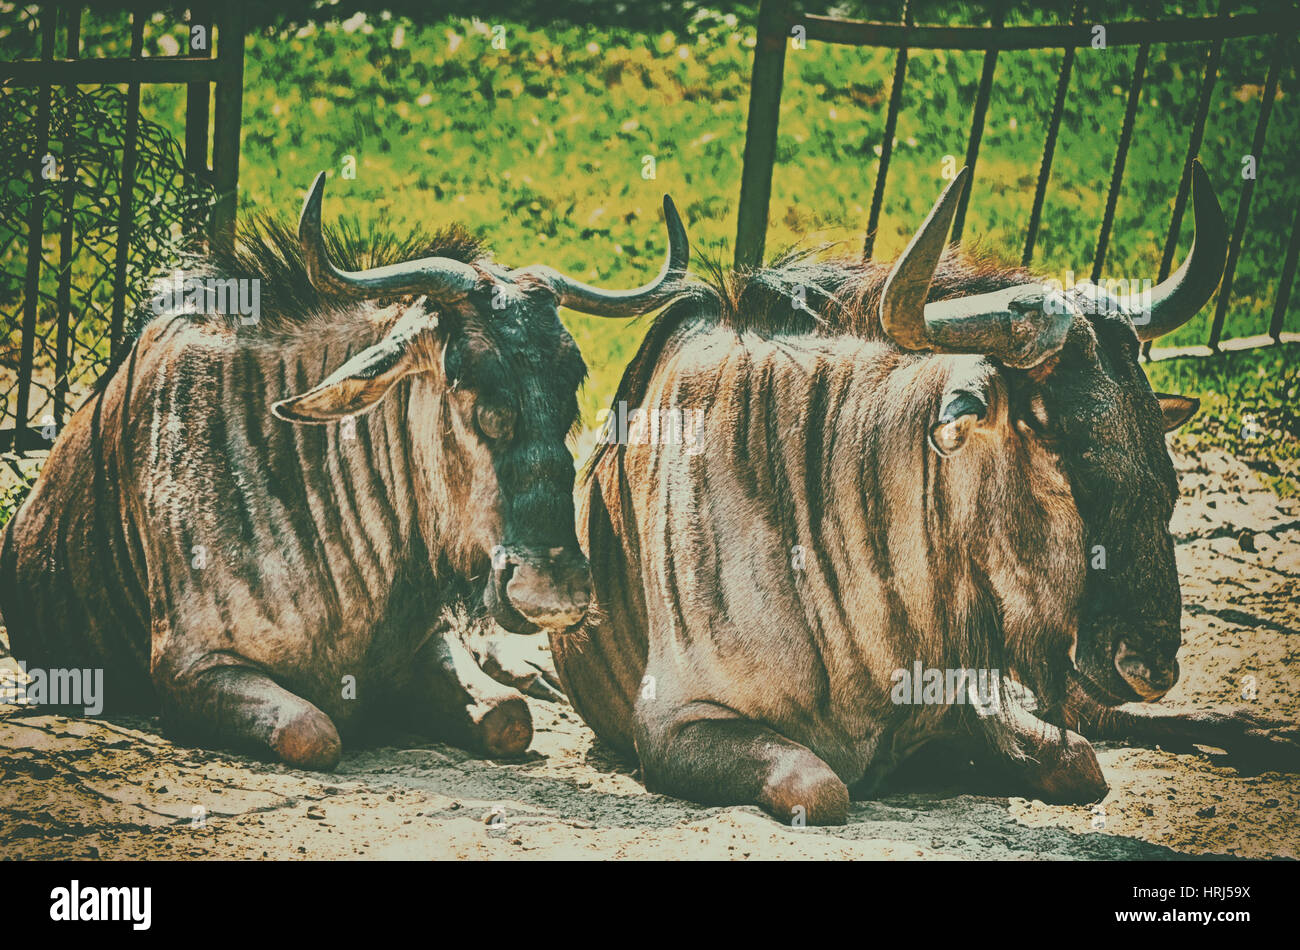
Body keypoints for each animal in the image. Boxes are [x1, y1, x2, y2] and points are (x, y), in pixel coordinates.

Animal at [0, 173, 689, 769]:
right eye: (465, 379)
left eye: (571, 380)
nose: (553, 594)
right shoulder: (191, 668)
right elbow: (313, 731)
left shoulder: (429, 644)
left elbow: (508, 717)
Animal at [552, 160, 1300, 824]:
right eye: (1058, 454)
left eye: (1159, 464)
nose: (1148, 663)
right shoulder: (675, 729)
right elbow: (823, 787)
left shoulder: (979, 688)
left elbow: (1075, 760)